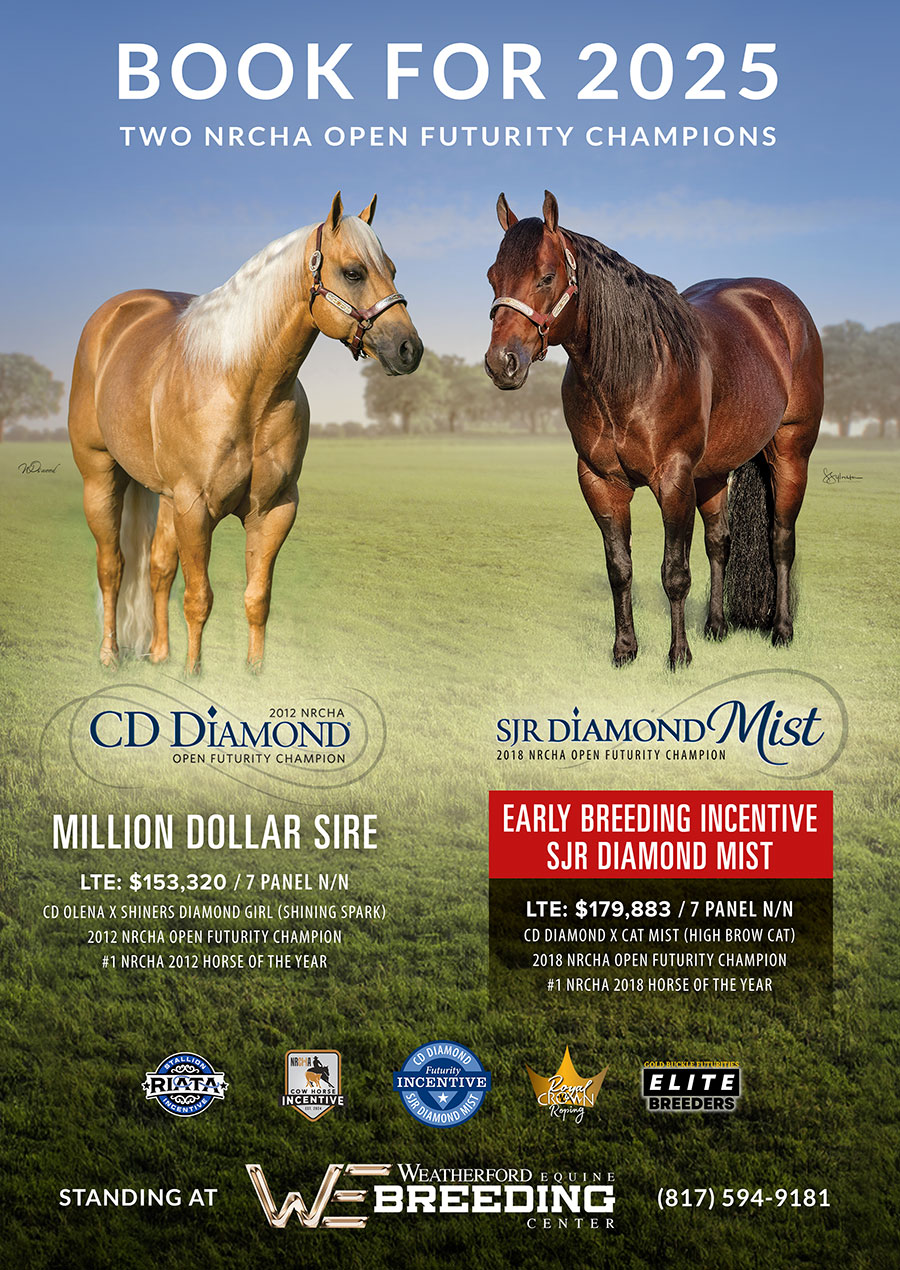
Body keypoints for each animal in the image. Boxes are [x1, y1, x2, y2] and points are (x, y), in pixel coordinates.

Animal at [68, 192, 422, 674]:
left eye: (392, 269)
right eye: (354, 271)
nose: (409, 349)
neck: (243, 385)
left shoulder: (274, 510)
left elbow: (257, 597)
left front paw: (254, 673)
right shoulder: (196, 509)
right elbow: (198, 598)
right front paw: (193, 674)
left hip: (166, 498)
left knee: (157, 569)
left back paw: (159, 653)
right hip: (101, 478)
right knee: (112, 567)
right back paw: (110, 655)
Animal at [484, 191, 823, 669]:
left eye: (546, 277)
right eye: (493, 276)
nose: (502, 363)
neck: (633, 371)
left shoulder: (675, 480)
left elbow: (675, 573)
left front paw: (678, 655)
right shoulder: (600, 481)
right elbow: (620, 568)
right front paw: (625, 648)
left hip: (791, 453)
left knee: (780, 540)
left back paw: (781, 630)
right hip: (713, 472)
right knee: (720, 542)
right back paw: (716, 626)